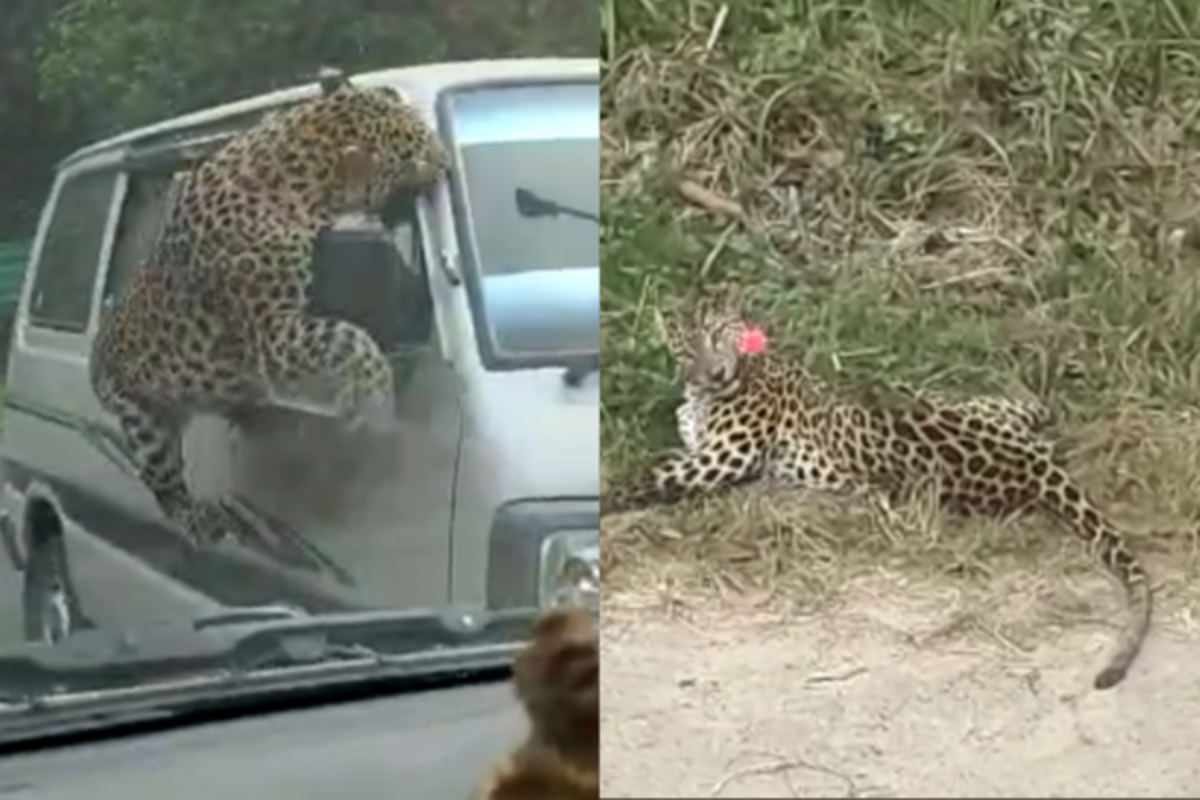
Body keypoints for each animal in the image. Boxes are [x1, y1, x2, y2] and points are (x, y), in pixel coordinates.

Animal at [89, 67, 449, 553]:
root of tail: (94, 354)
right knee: (164, 487)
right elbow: (349, 337)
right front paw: (377, 404)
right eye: (420, 147)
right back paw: (200, 522)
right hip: (143, 420)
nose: (447, 162)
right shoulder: (270, 336)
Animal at [603, 288, 1151, 691]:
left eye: (718, 334)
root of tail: (1031, 461)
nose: (714, 370)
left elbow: (643, 479)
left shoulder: (717, 461)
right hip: (977, 408)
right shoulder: (697, 451)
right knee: (1035, 406)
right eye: (687, 344)